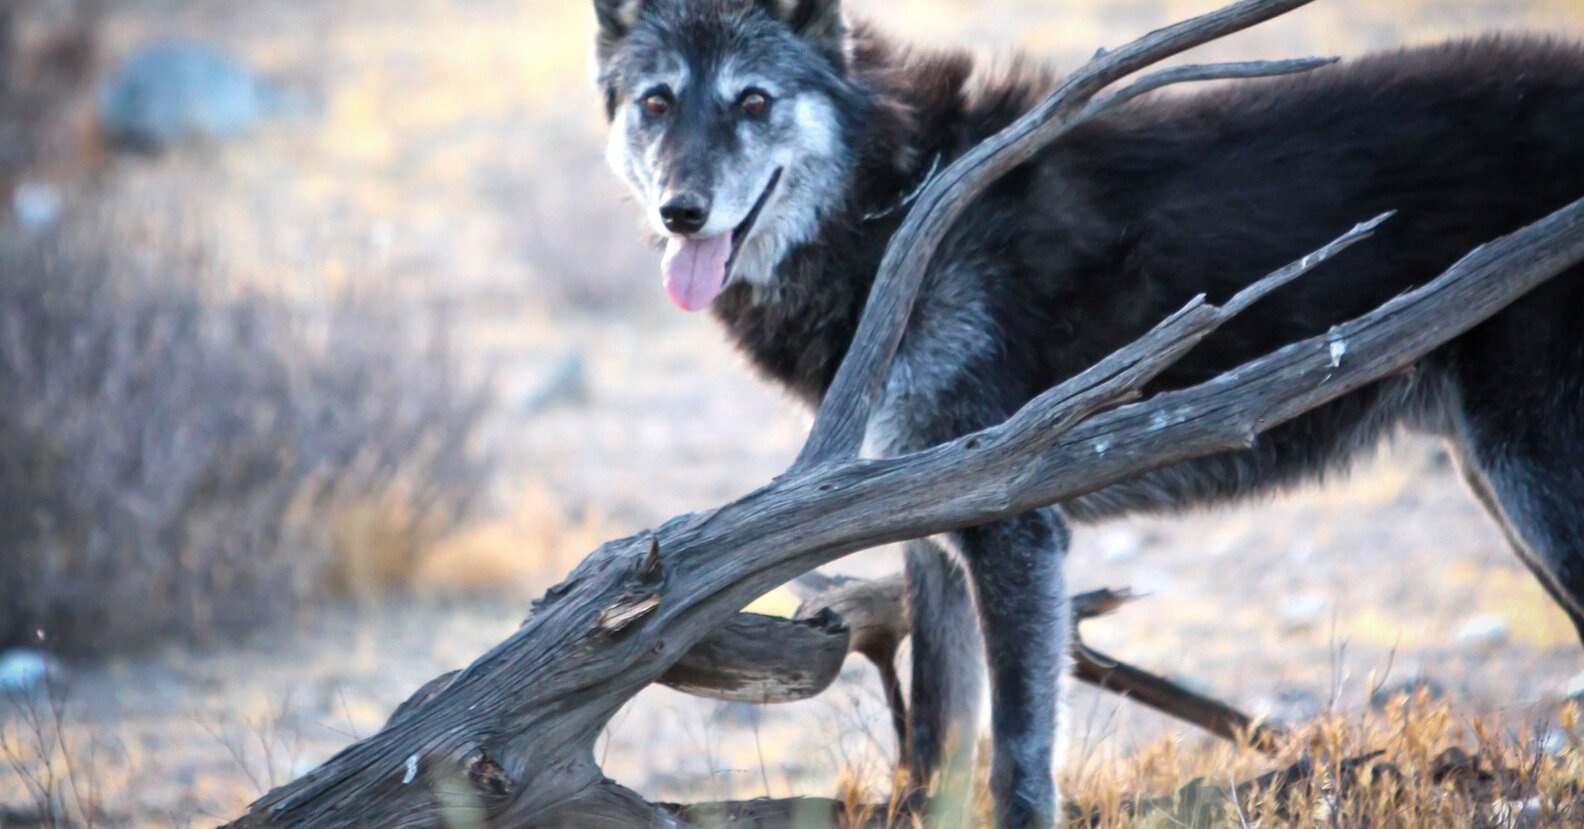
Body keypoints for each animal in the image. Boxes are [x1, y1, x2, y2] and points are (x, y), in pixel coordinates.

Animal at [591, 0, 1584, 824]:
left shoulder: (1016, 533)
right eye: (657, 103)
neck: (898, 199)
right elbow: (934, 751)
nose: (683, 213)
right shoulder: (934, 538)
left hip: (1531, 484)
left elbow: (1017, 764)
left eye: (753, 101)